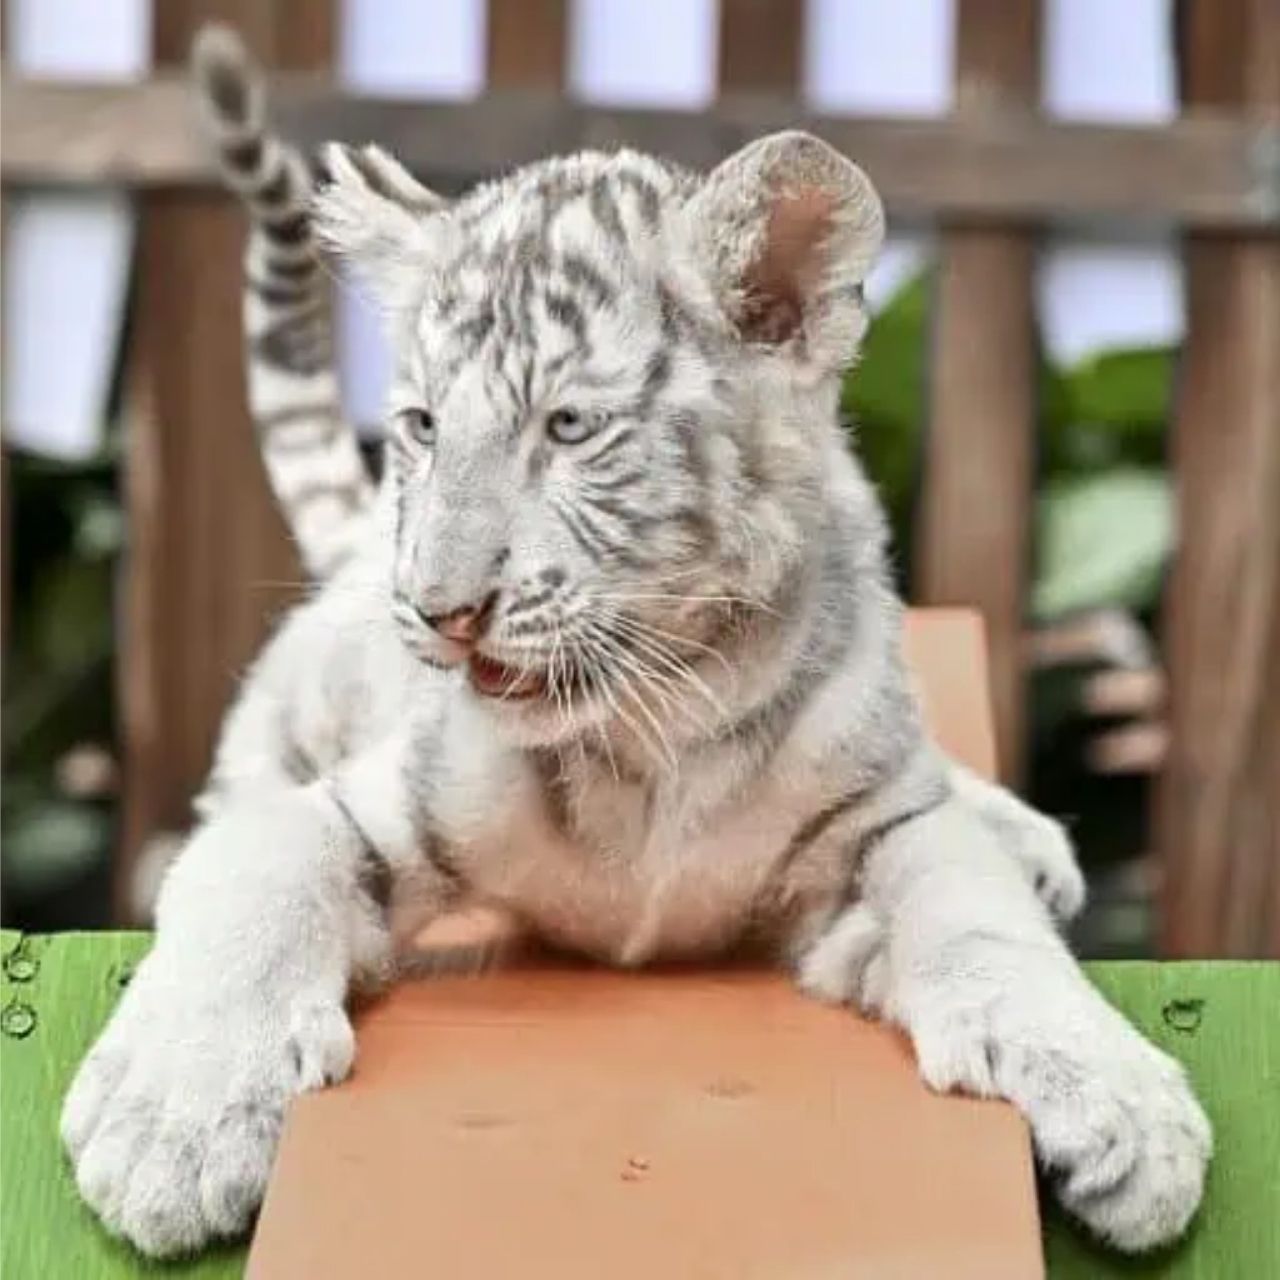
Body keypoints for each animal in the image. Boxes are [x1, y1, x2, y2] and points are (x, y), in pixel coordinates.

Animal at [61, 24, 1208, 1259]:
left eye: (568, 428)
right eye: (422, 426)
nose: (439, 608)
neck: (652, 729)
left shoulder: (873, 834)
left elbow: (980, 910)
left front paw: (1121, 1105)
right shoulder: (365, 805)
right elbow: (257, 878)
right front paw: (171, 1123)